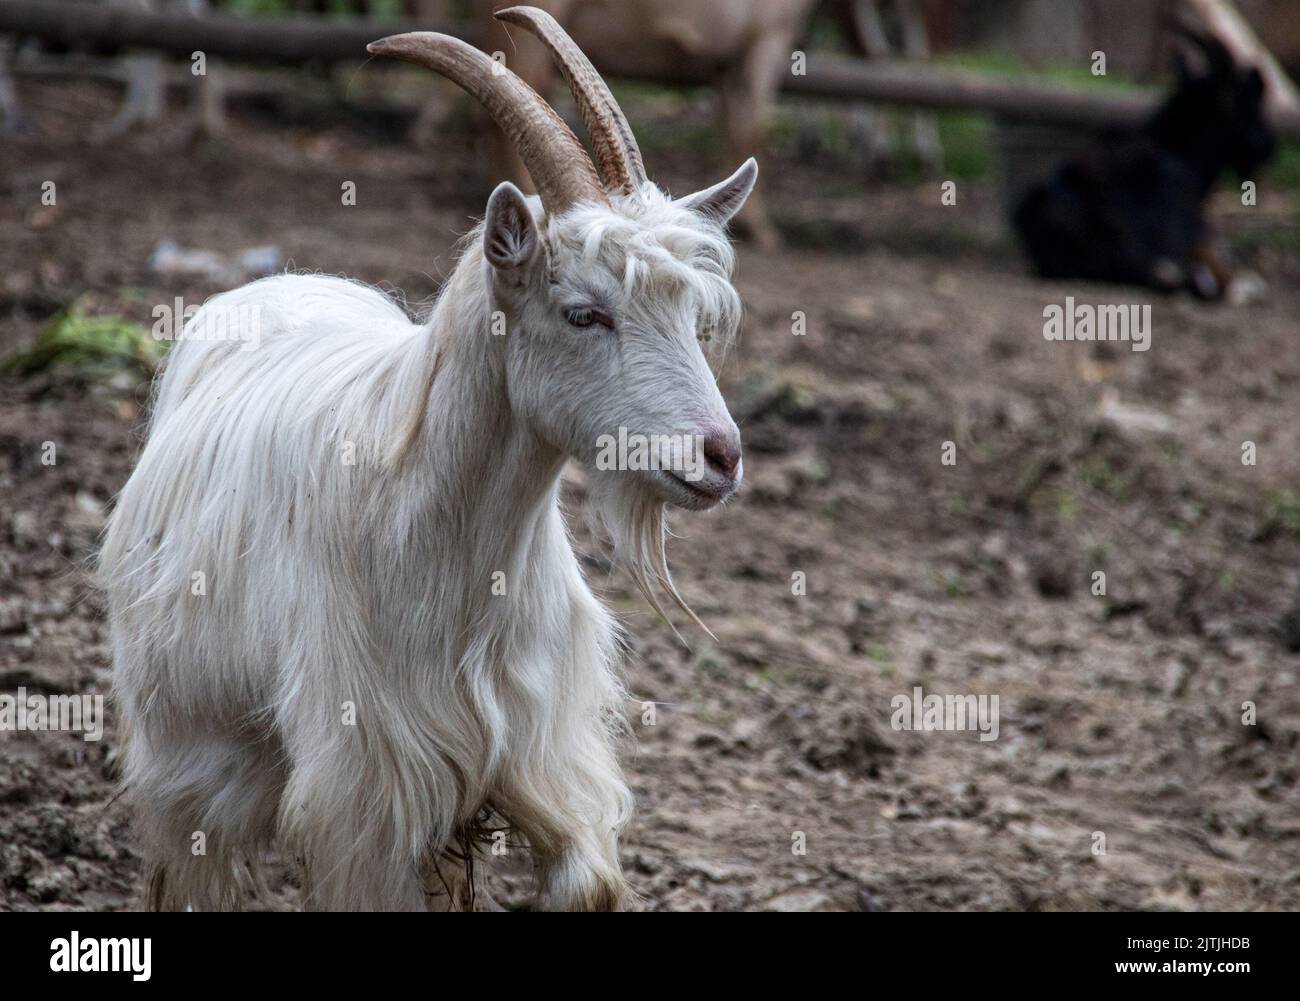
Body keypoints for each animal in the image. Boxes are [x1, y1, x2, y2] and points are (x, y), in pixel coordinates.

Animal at [100, 6, 756, 911]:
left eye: (696, 315)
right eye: (584, 313)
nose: (719, 456)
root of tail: (277, 282)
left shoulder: (545, 749)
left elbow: (584, 877)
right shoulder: (364, 789)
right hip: (187, 740)